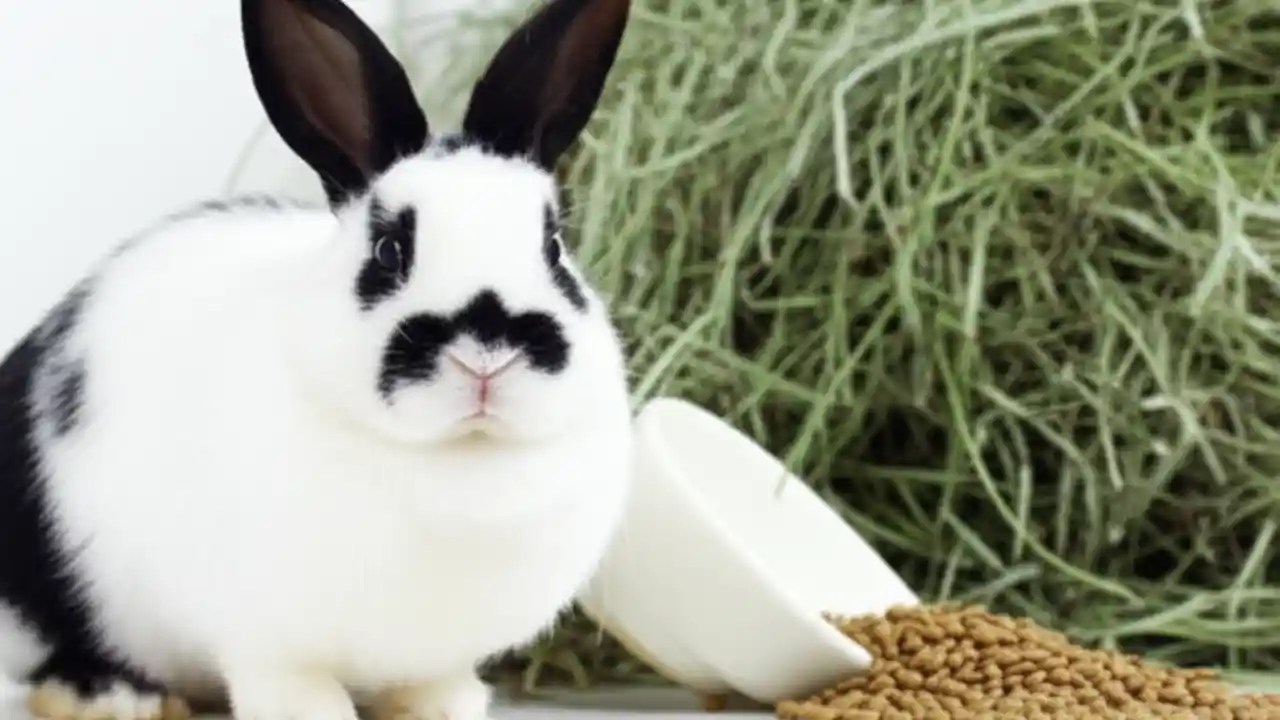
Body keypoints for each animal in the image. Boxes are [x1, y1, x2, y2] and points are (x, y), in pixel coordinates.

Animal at [0, 0, 635, 718]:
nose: (486, 355)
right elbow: (288, 682)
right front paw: (313, 712)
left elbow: (430, 681)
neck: (457, 461)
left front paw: (444, 705)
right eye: (388, 251)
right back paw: (112, 697)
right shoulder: (263, 639)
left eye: (553, 248)